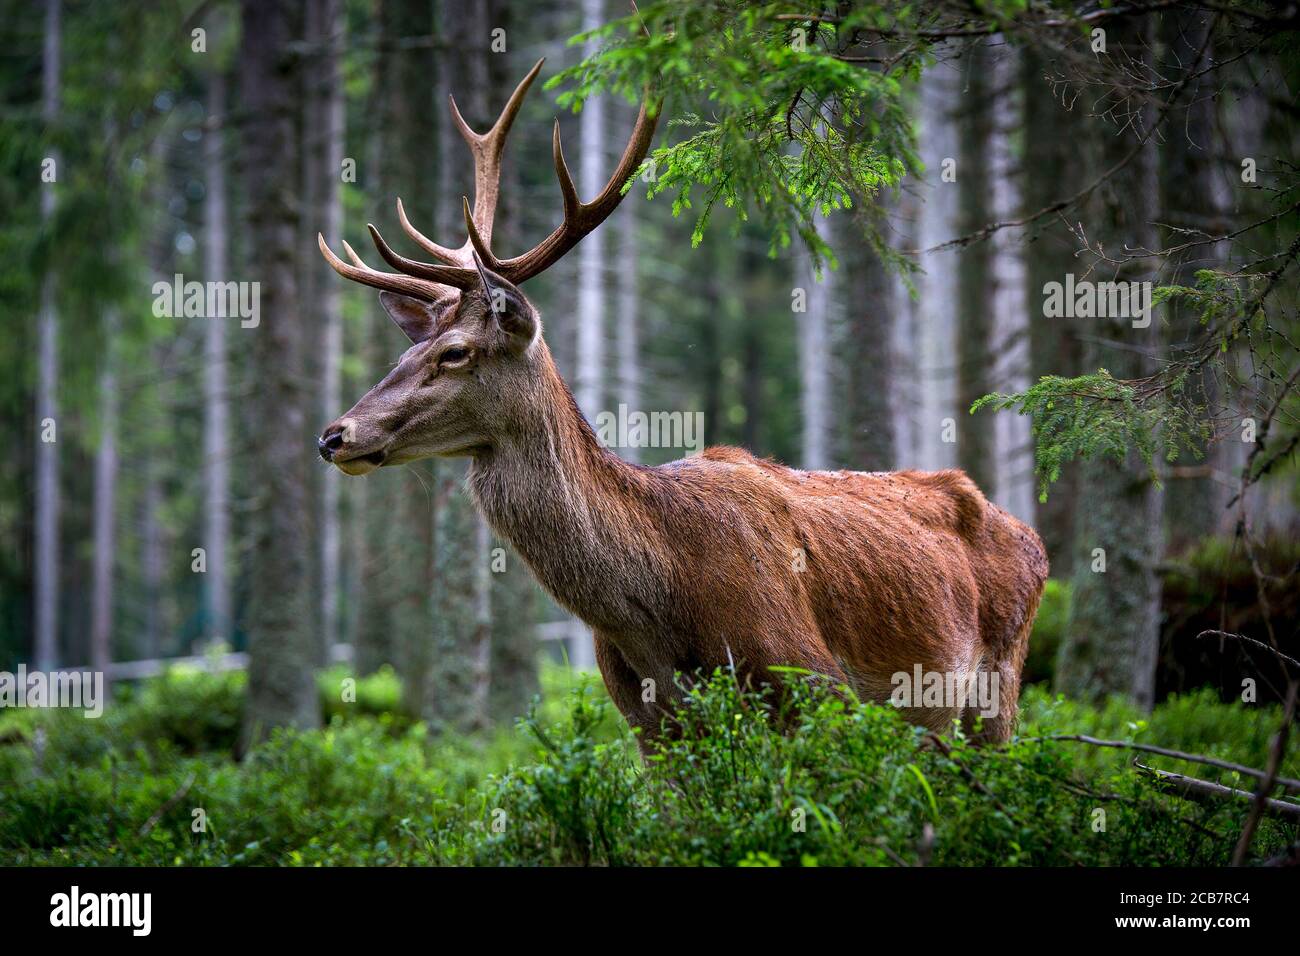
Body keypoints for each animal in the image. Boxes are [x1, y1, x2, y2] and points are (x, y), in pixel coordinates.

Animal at [316, 60, 1049, 749]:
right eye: (406, 352)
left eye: (456, 353)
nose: (335, 435)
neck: (657, 605)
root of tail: (1031, 537)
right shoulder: (647, 722)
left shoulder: (814, 685)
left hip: (998, 689)